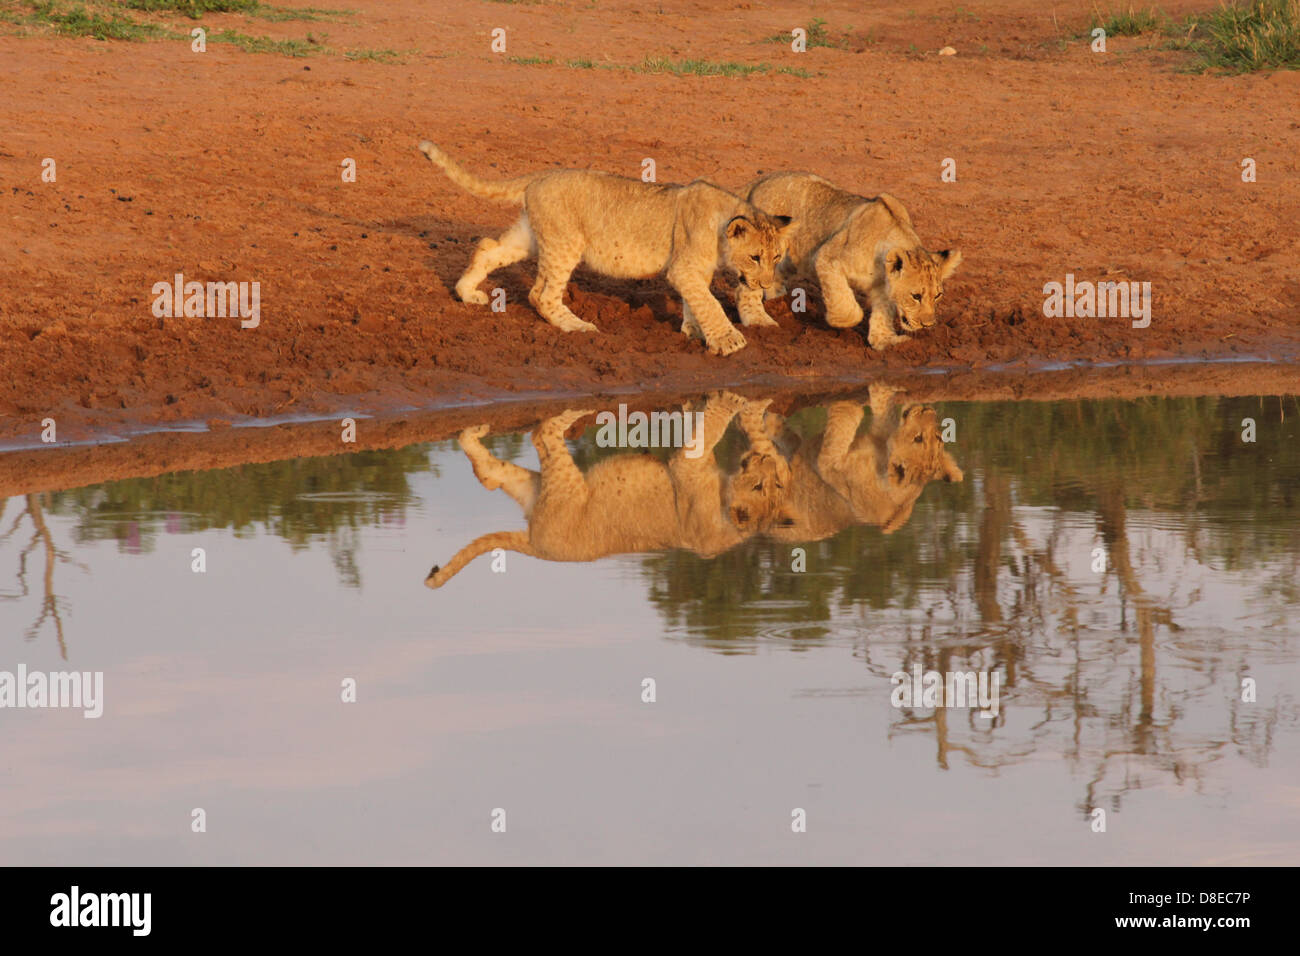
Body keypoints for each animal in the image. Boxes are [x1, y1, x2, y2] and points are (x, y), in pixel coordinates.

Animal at [418, 142, 793, 356]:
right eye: (755, 257)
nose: (764, 285)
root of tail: (540, 176)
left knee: (487, 248)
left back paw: (468, 293)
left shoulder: (691, 271)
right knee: (541, 294)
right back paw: (577, 326)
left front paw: (693, 331)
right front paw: (728, 341)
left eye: (776, 257)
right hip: (566, 243)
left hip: (533, 237)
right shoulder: (683, 268)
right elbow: (709, 303)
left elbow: (695, 302)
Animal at [424, 393, 793, 588]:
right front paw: (734, 399)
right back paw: (578, 409)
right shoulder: (688, 467)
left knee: (503, 465)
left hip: (549, 487)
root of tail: (537, 546)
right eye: (762, 485)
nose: (765, 459)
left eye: (773, 484)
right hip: (565, 484)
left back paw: (474, 432)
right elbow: (713, 426)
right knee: (541, 432)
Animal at [741, 172, 962, 350]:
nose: (928, 324)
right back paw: (758, 320)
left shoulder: (882, 287)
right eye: (916, 296)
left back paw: (777, 301)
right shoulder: (827, 256)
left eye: (937, 295)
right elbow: (846, 305)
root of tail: (758, 182)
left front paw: (885, 340)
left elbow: (884, 312)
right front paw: (841, 320)